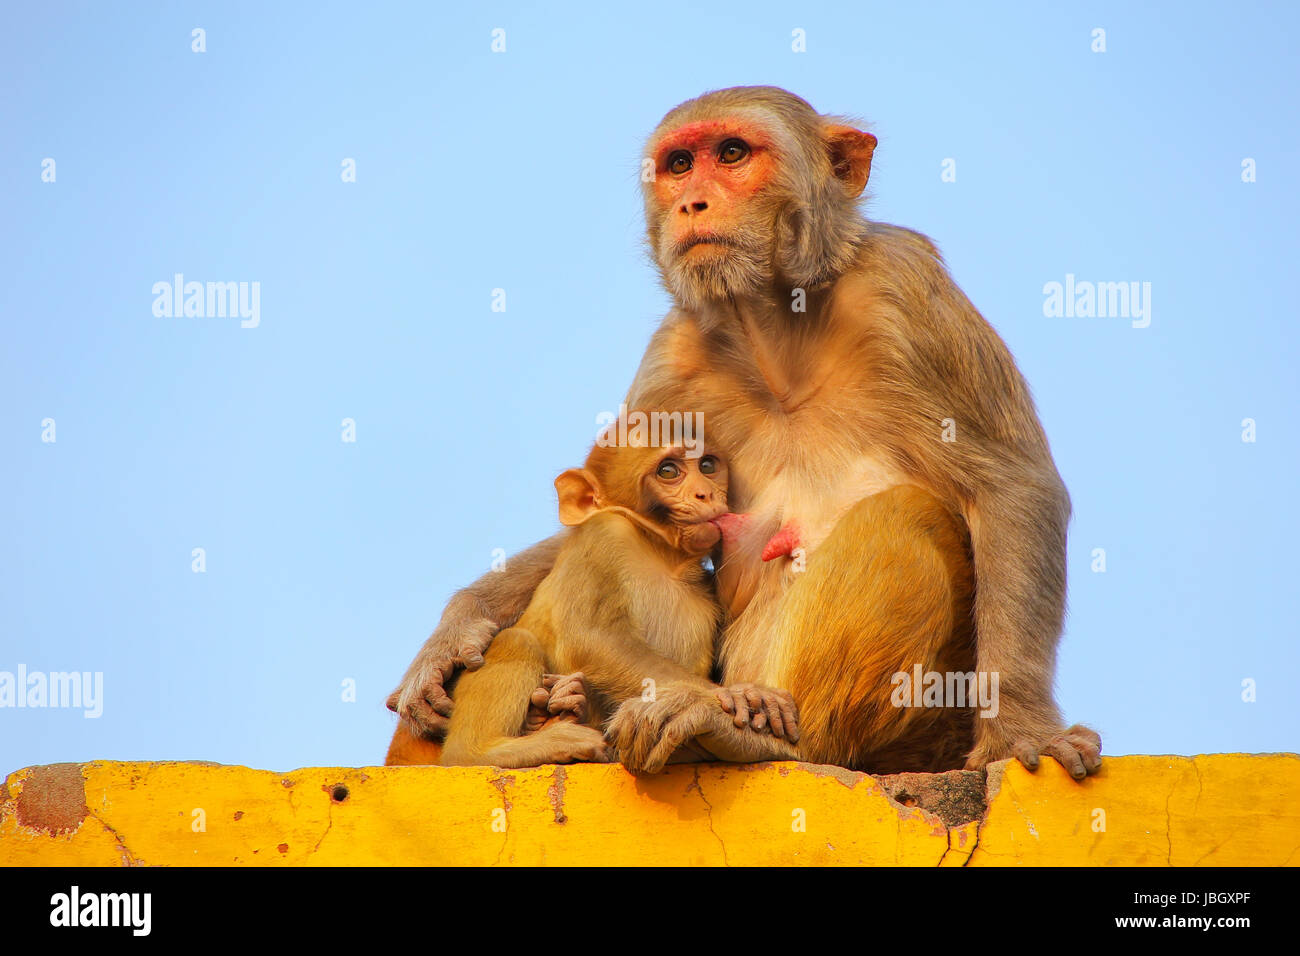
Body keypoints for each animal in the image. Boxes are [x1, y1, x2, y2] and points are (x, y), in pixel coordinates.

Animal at [414, 422, 800, 770]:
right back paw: (486, 751)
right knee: (517, 640)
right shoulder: (602, 537)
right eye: (669, 471)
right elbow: (592, 639)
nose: (705, 494)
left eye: (707, 465)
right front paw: (735, 695)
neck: (661, 555)